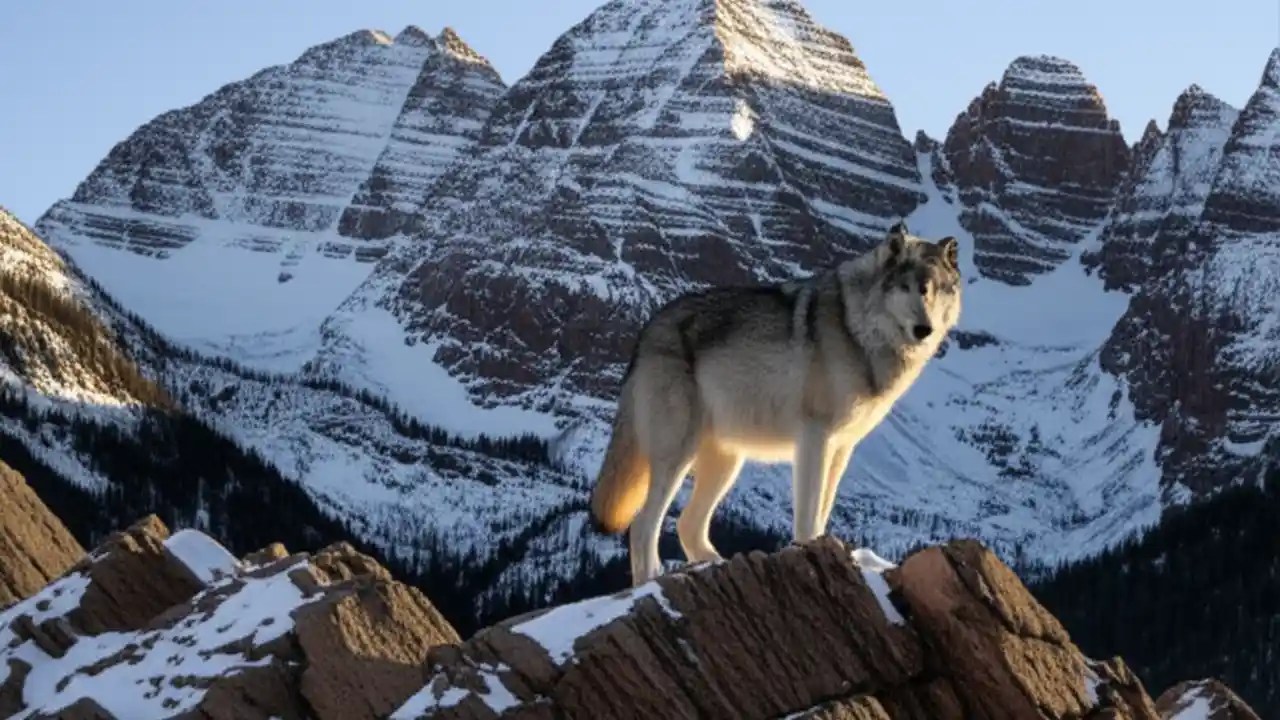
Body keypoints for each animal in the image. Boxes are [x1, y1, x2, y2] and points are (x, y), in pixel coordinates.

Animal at [588, 221, 962, 586]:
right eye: (910, 288)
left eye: (935, 290)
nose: (925, 329)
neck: (856, 330)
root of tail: (646, 331)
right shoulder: (815, 438)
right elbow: (809, 513)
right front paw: (810, 548)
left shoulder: (842, 448)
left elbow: (823, 509)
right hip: (678, 457)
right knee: (643, 525)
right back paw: (652, 579)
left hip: (727, 463)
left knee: (687, 525)